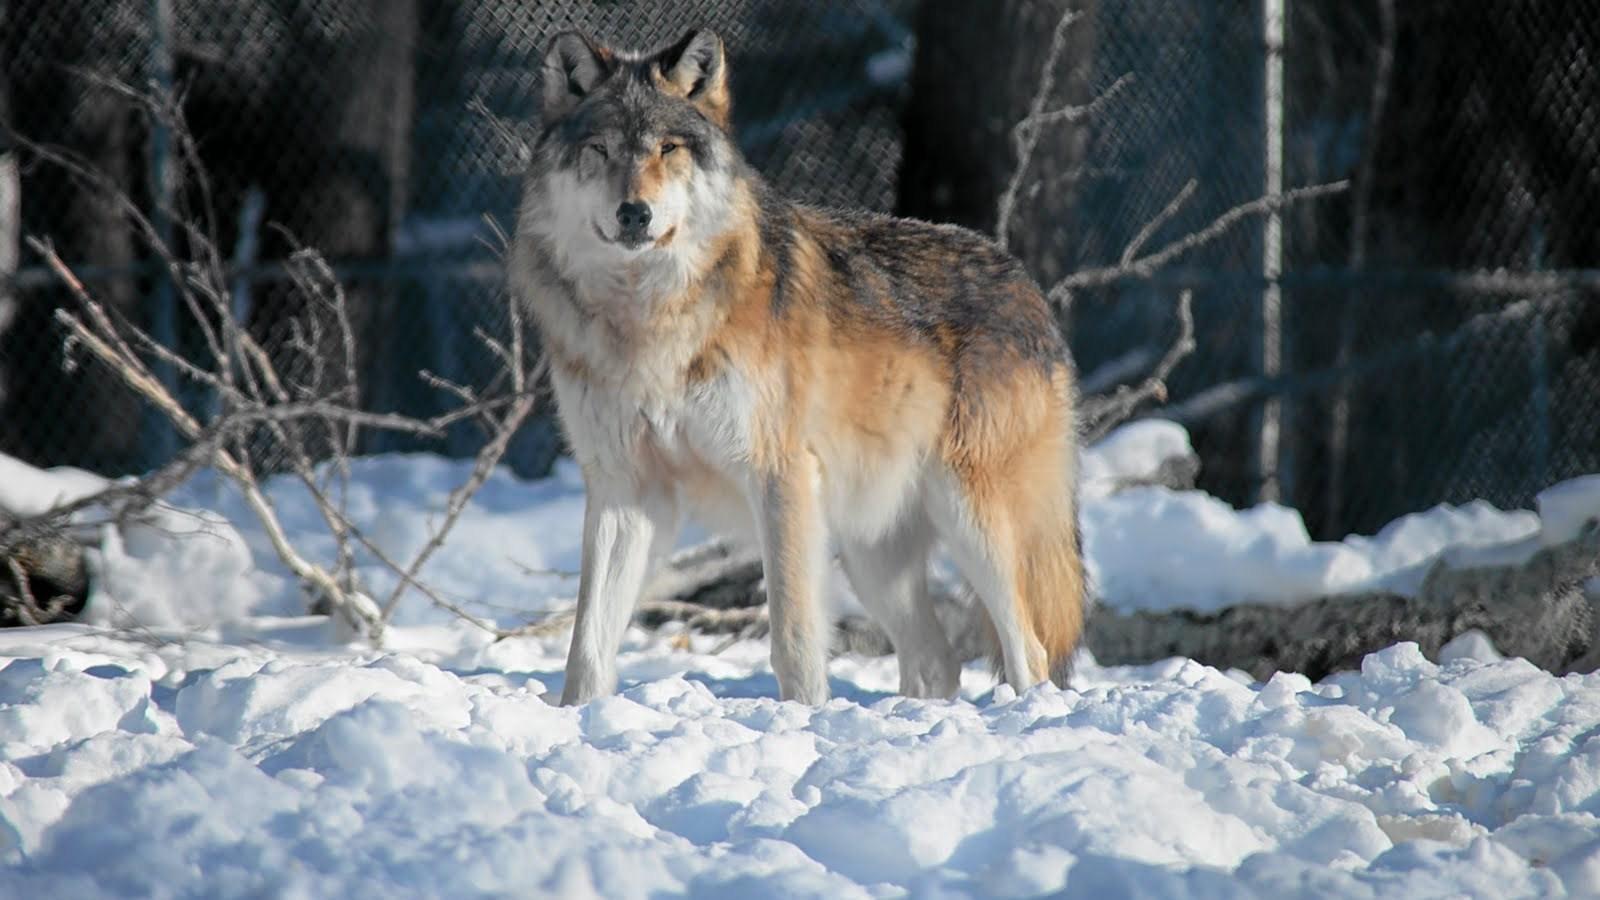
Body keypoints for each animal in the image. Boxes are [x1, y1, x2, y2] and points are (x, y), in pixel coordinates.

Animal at [509, 29, 1085, 706]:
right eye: (599, 150)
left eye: (668, 149)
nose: (634, 213)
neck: (649, 321)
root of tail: (1029, 286)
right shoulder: (625, 490)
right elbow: (588, 646)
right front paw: (578, 715)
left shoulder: (778, 476)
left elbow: (793, 637)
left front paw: (805, 716)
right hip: (871, 554)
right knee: (937, 659)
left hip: (974, 521)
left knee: (1031, 651)